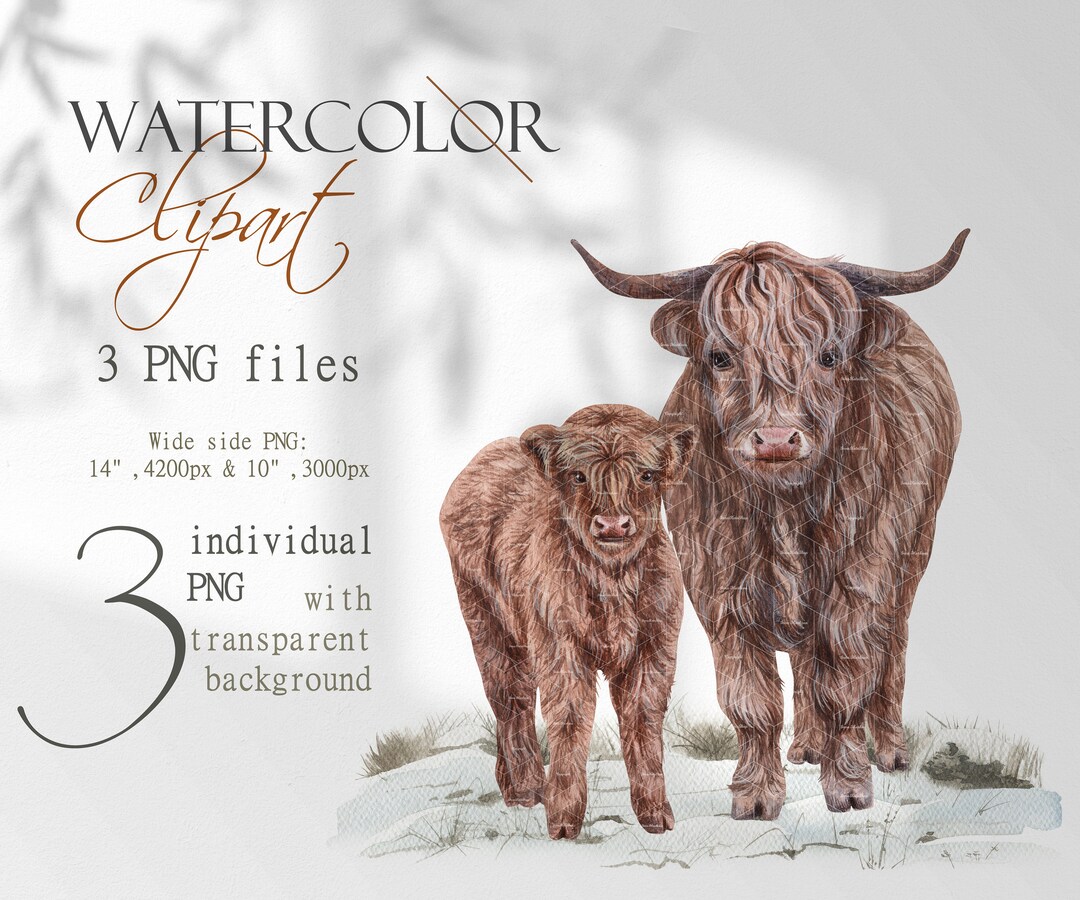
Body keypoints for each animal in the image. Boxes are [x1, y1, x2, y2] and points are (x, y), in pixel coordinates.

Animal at [440, 404, 697, 838]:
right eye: (578, 475)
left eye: (646, 474)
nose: (612, 525)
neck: (612, 579)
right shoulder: (560, 647)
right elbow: (570, 717)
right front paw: (563, 820)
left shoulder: (655, 649)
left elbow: (643, 720)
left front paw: (656, 815)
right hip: (486, 621)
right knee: (511, 699)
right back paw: (527, 788)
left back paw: (512, 786)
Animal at [571, 232, 967, 818]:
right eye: (720, 356)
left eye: (829, 356)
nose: (776, 439)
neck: (784, 506)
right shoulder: (717, 587)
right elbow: (751, 699)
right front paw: (757, 795)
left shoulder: (859, 580)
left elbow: (845, 682)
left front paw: (849, 786)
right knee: (803, 659)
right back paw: (806, 745)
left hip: (915, 552)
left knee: (892, 647)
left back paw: (890, 750)